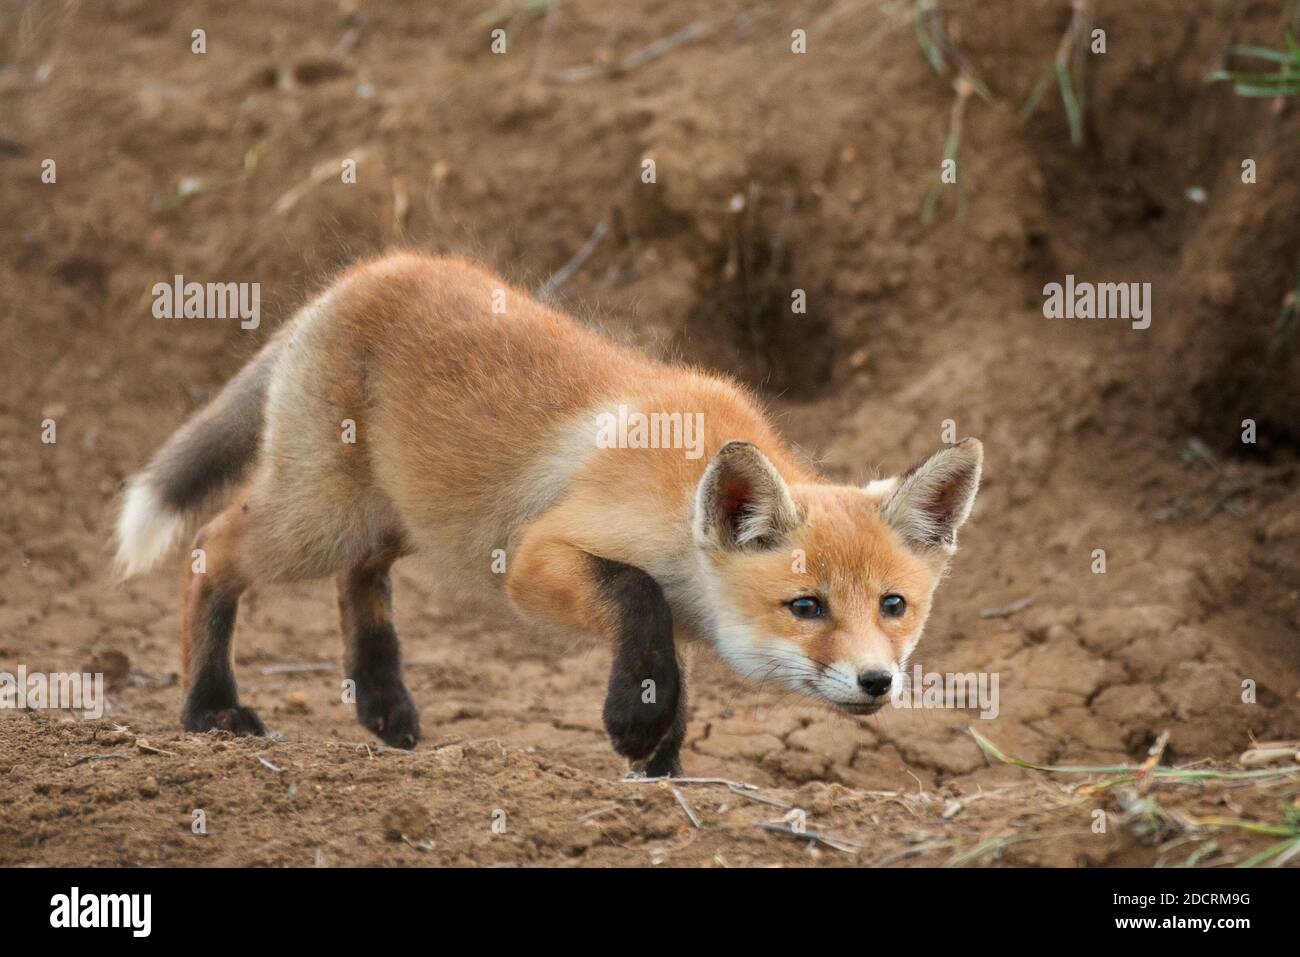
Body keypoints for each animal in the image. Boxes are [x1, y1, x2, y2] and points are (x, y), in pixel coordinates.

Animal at [114, 252, 982, 776]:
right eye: (806, 606)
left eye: (894, 605)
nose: (876, 680)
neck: (679, 503)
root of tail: (361, 275)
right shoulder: (538, 557)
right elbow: (637, 599)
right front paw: (636, 731)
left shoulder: (670, 612)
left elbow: (670, 679)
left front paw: (660, 771)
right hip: (322, 518)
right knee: (211, 547)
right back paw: (210, 706)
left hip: (408, 516)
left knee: (359, 580)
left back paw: (383, 701)